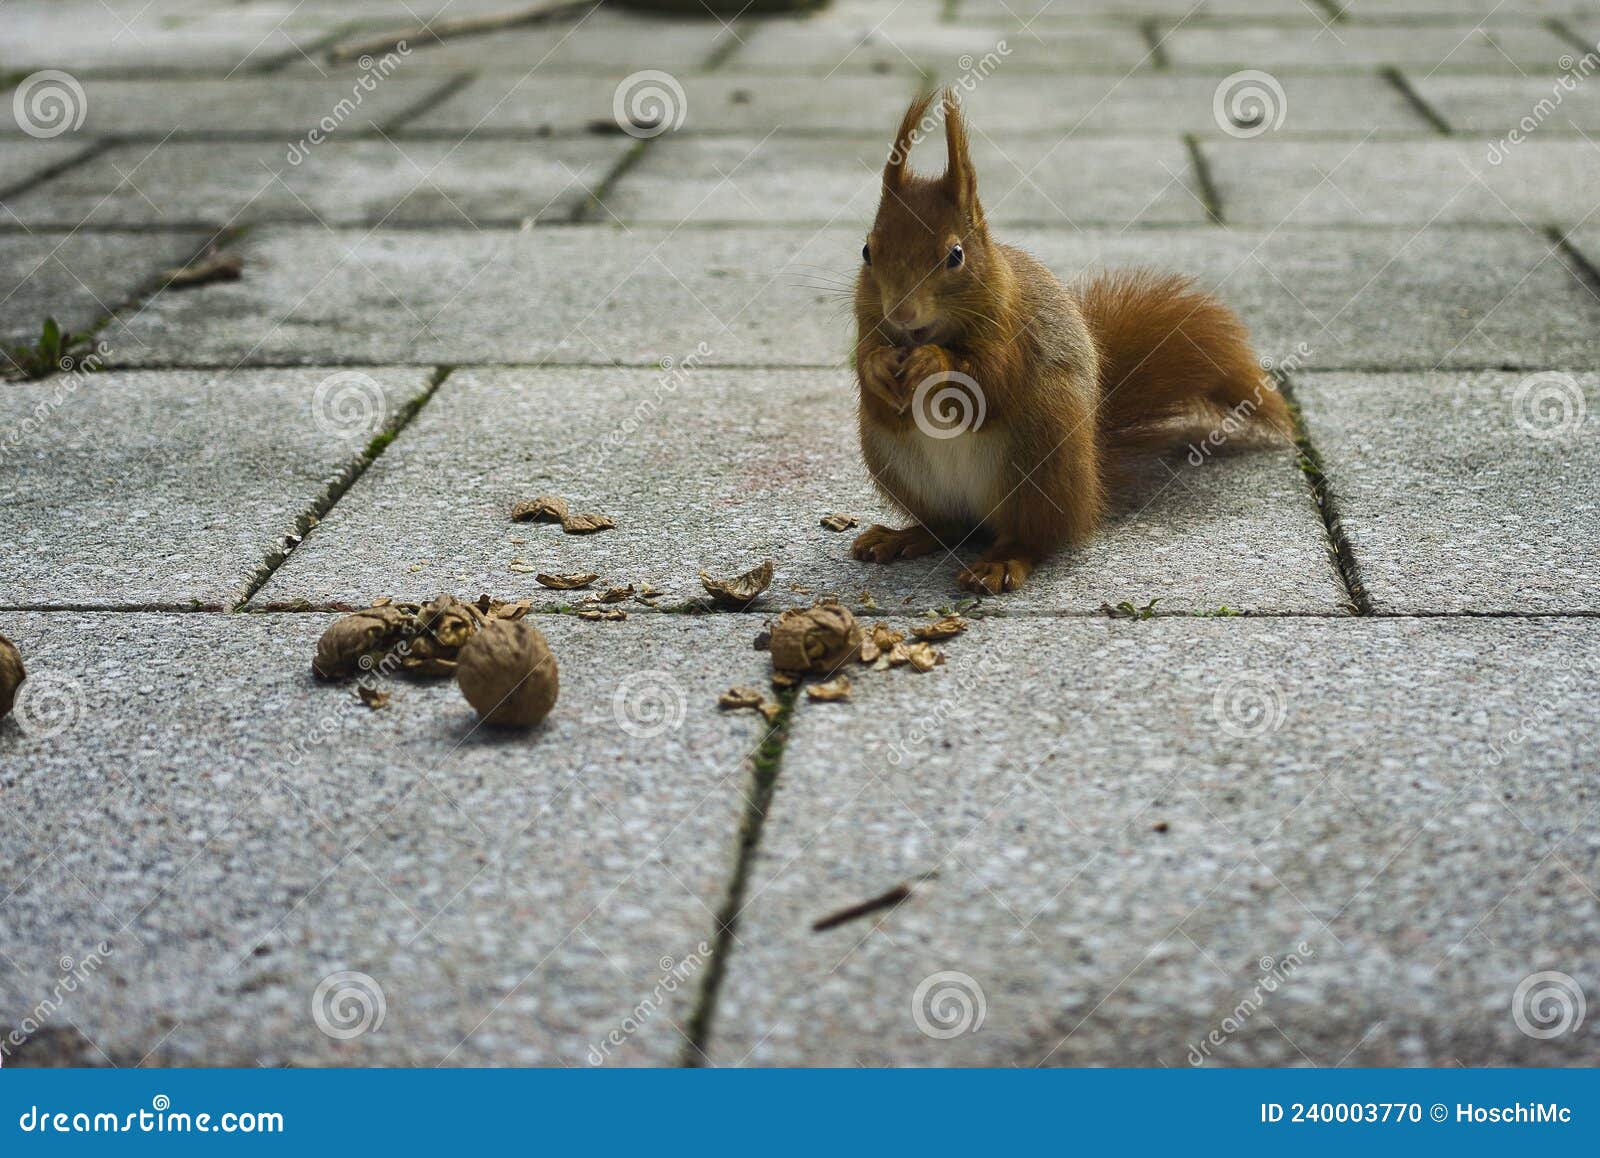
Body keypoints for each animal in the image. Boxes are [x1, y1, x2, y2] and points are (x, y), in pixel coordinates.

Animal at [851, 89, 1292, 594]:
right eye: (867, 251)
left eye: (955, 255)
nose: (902, 314)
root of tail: (1092, 490)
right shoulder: (868, 327)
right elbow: (871, 375)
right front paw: (877, 367)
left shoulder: (1016, 334)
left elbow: (989, 381)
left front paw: (932, 362)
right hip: (896, 462)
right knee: (949, 526)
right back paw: (904, 537)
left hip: (1043, 452)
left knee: (1036, 537)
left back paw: (1000, 561)